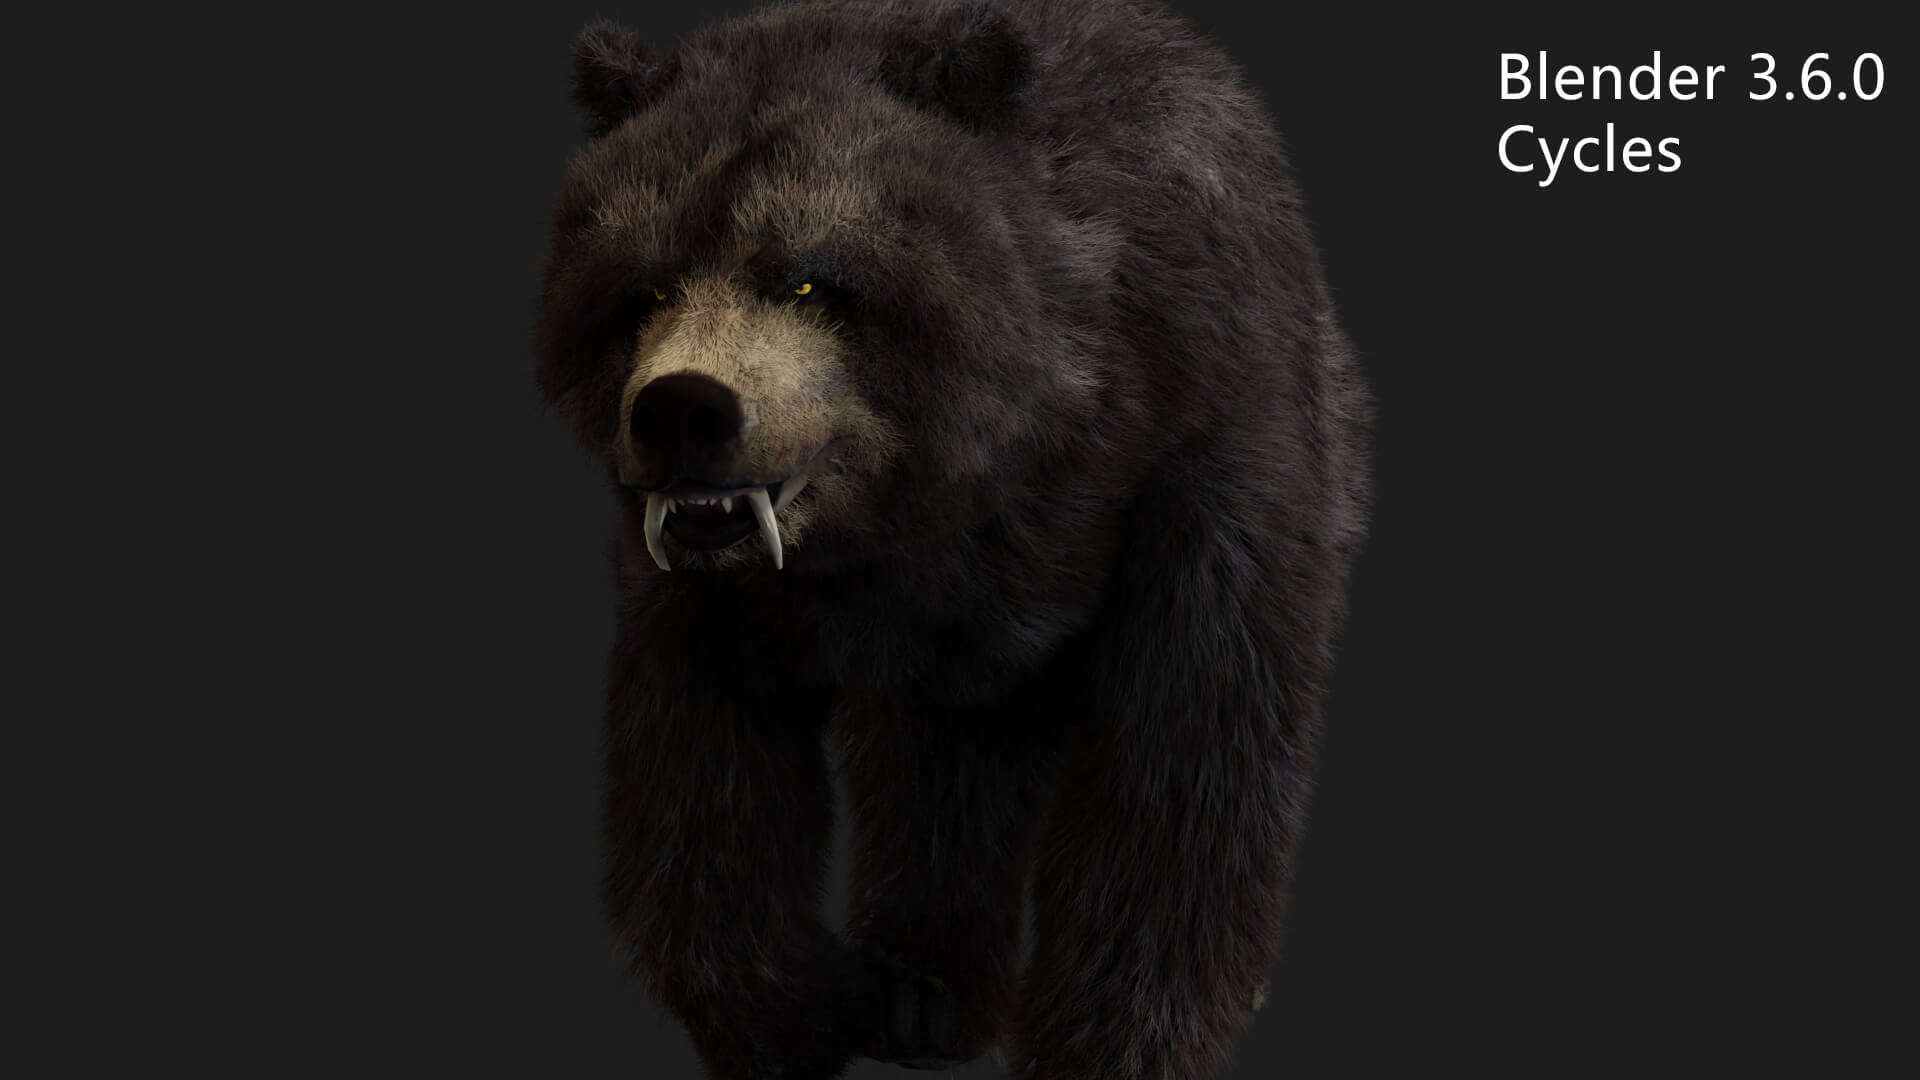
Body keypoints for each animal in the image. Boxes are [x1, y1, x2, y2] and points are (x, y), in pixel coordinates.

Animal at [532, 1, 1371, 1077]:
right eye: (645, 287)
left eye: (810, 282)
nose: (683, 408)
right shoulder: (699, 596)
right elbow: (702, 784)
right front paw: (806, 1007)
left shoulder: (1201, 478)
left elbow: (1180, 771)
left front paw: (1108, 1039)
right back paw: (918, 993)